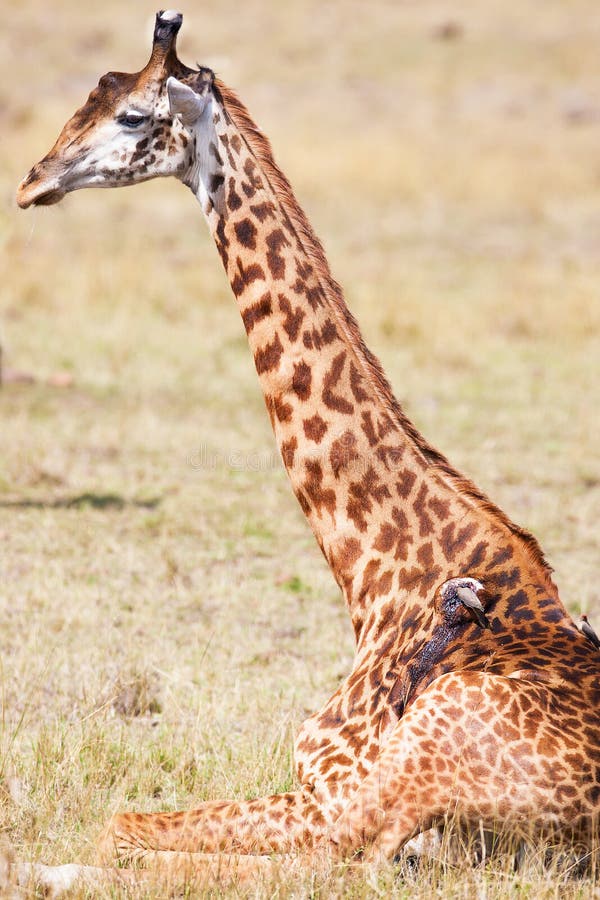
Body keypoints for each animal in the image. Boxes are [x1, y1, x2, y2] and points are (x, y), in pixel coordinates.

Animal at [14, 9, 600, 892]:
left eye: (131, 115)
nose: (32, 180)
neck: (379, 577)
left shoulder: (334, 781)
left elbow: (124, 828)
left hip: (414, 760)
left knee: (303, 861)